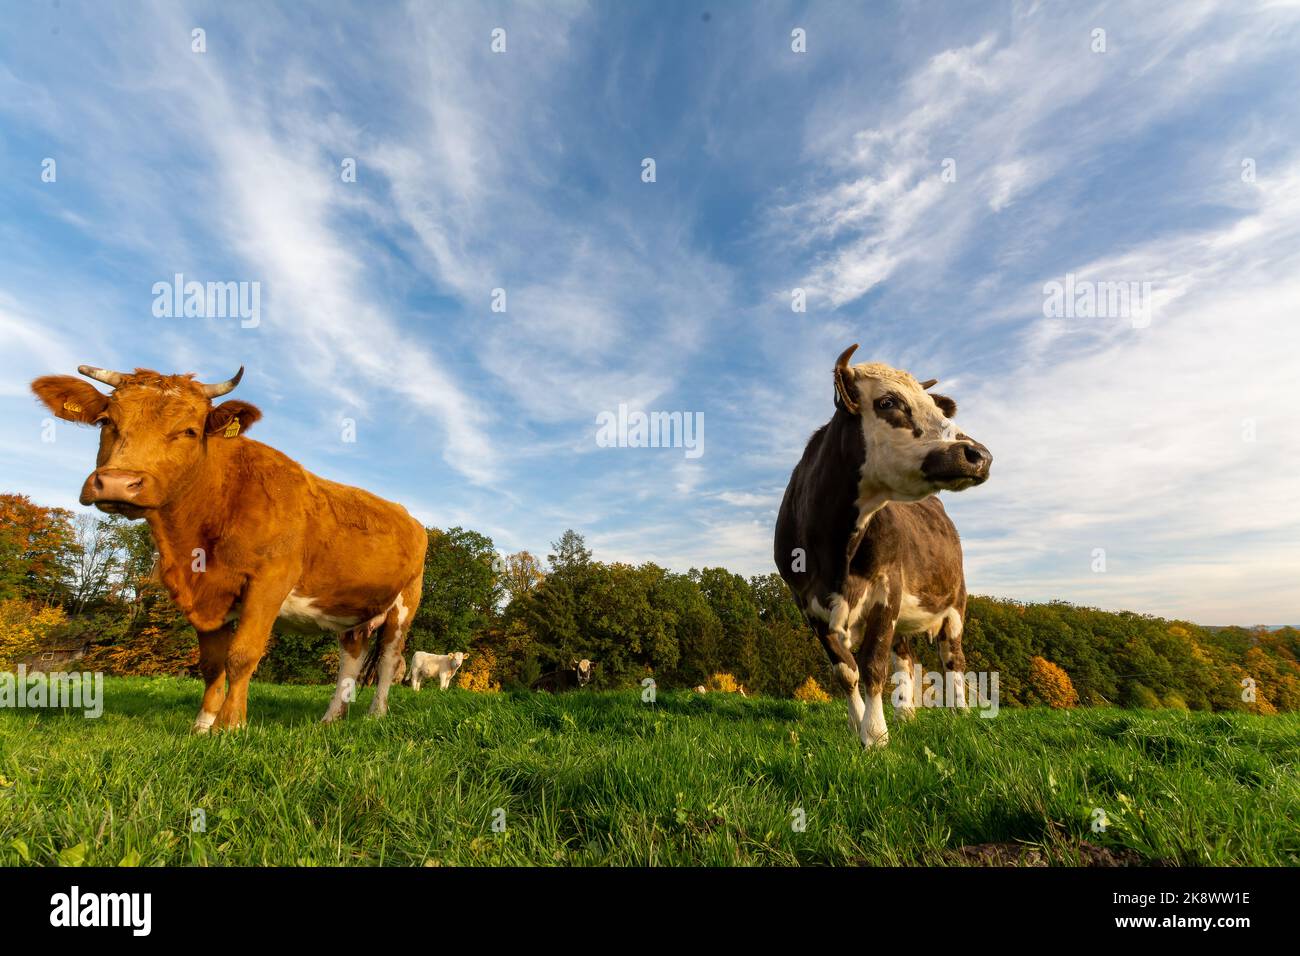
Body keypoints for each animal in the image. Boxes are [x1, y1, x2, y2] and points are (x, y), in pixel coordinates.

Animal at [31, 365, 428, 732]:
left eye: (190, 431)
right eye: (105, 421)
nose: (117, 483)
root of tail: (408, 515)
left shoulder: (270, 581)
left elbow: (241, 655)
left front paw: (231, 725)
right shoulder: (204, 594)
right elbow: (211, 664)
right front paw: (203, 725)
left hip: (404, 603)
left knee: (389, 660)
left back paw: (376, 715)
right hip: (351, 607)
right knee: (351, 658)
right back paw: (331, 719)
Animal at [774, 345, 992, 748]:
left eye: (936, 408)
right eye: (888, 402)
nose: (979, 454)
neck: (835, 551)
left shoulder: (886, 588)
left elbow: (873, 665)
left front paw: (875, 735)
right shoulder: (807, 604)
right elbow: (847, 671)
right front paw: (857, 724)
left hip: (956, 602)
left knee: (952, 659)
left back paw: (960, 713)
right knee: (904, 657)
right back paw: (905, 714)